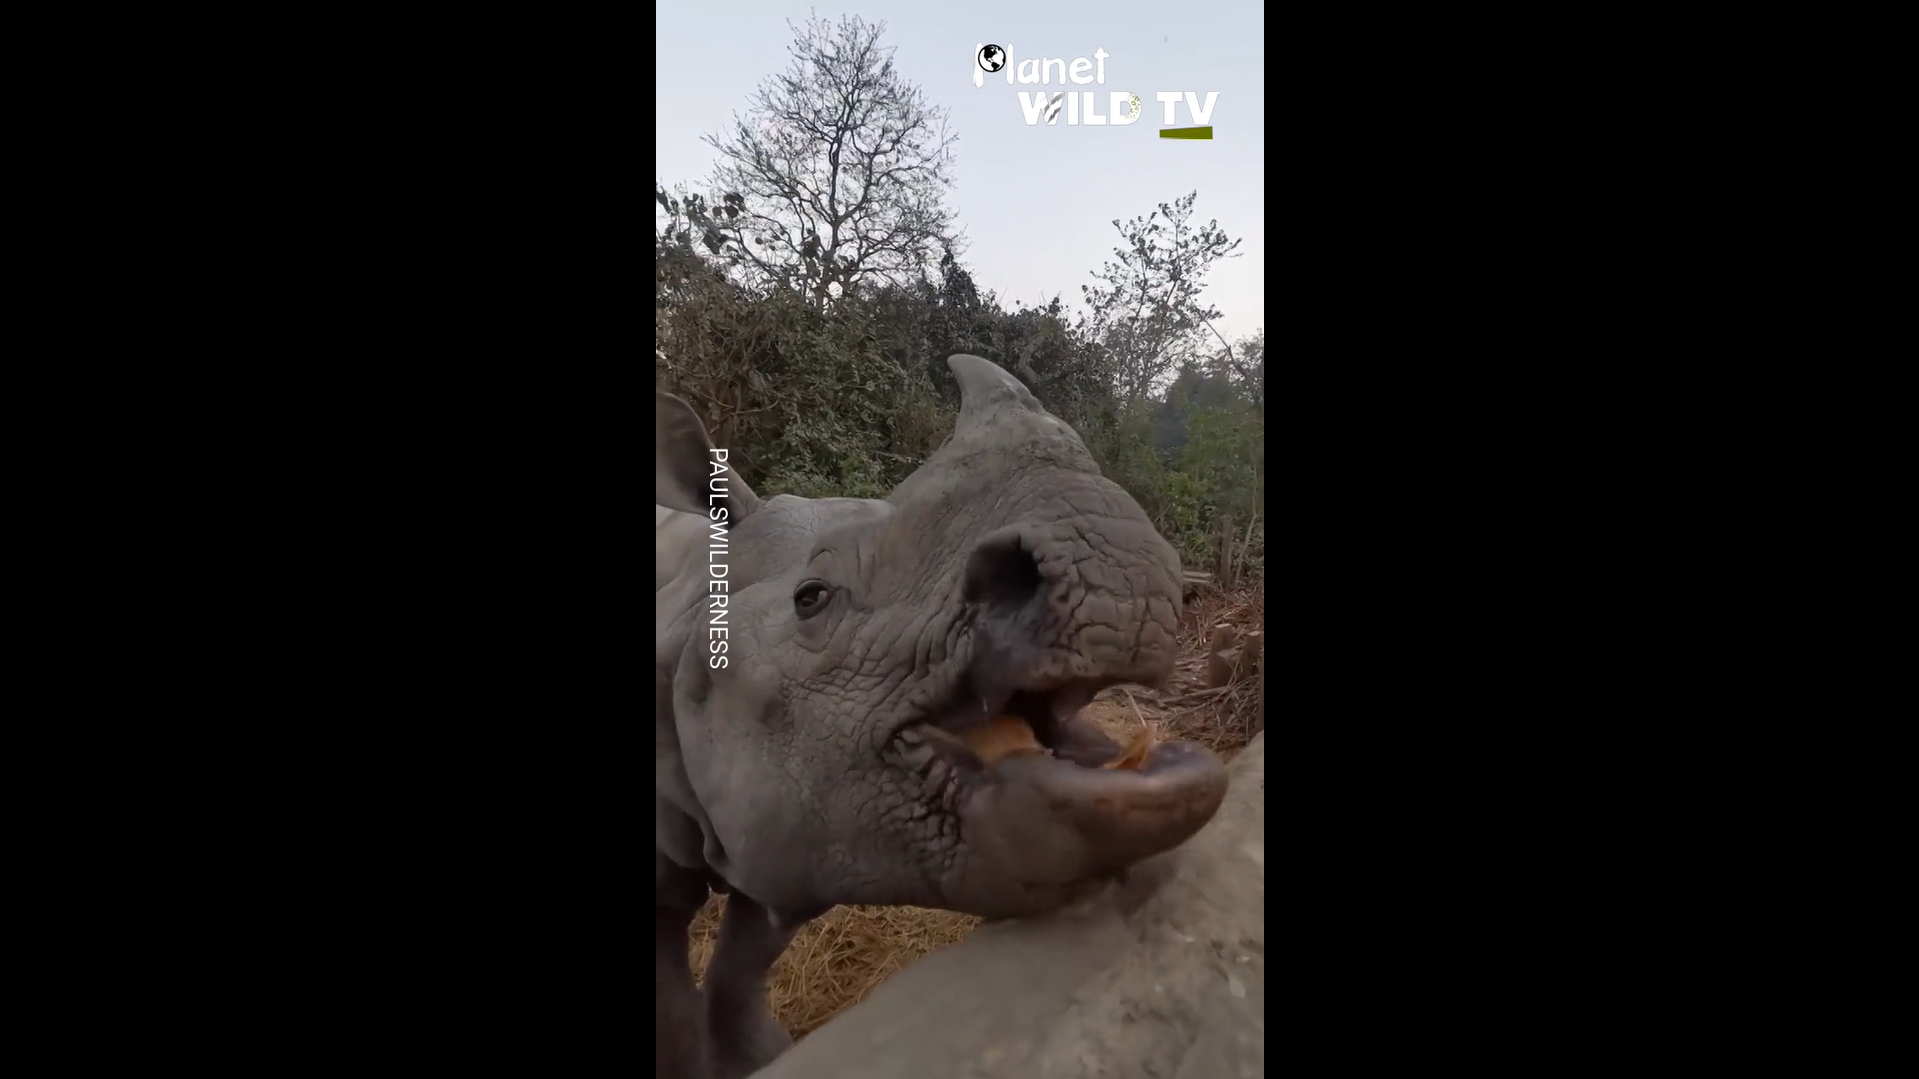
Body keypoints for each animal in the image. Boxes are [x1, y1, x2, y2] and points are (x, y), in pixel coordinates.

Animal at [656, 355, 1230, 1079]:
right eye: (811, 598)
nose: (1120, 555)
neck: (690, 609)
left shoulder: (782, 829)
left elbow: (739, 970)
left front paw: (763, 1058)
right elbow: (672, 1005)